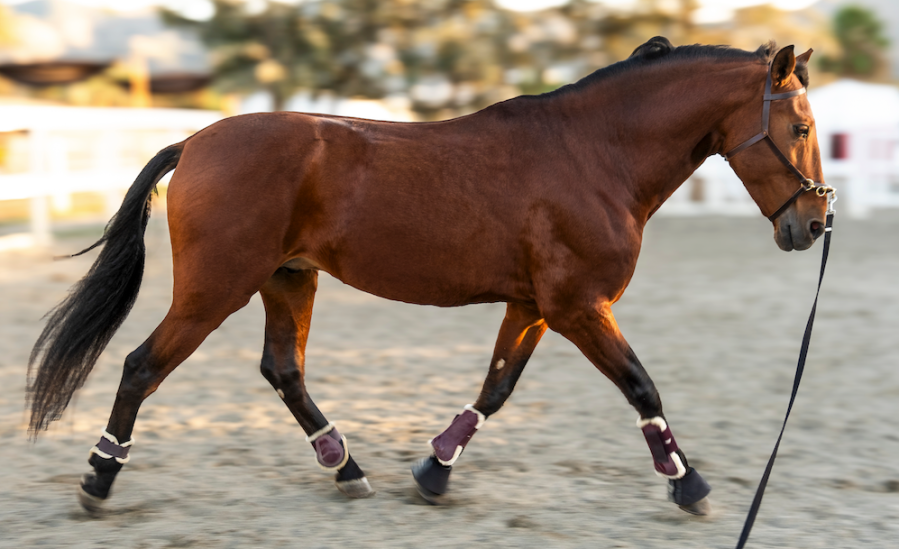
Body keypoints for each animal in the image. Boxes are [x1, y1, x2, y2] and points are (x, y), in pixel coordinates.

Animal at [28, 37, 830, 516]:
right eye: (799, 128)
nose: (813, 225)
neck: (593, 155)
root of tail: (194, 141)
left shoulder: (535, 306)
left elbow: (496, 388)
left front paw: (435, 468)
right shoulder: (578, 305)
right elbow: (641, 386)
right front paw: (688, 483)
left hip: (288, 278)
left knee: (282, 369)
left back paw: (346, 466)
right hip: (213, 289)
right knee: (141, 365)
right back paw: (98, 478)